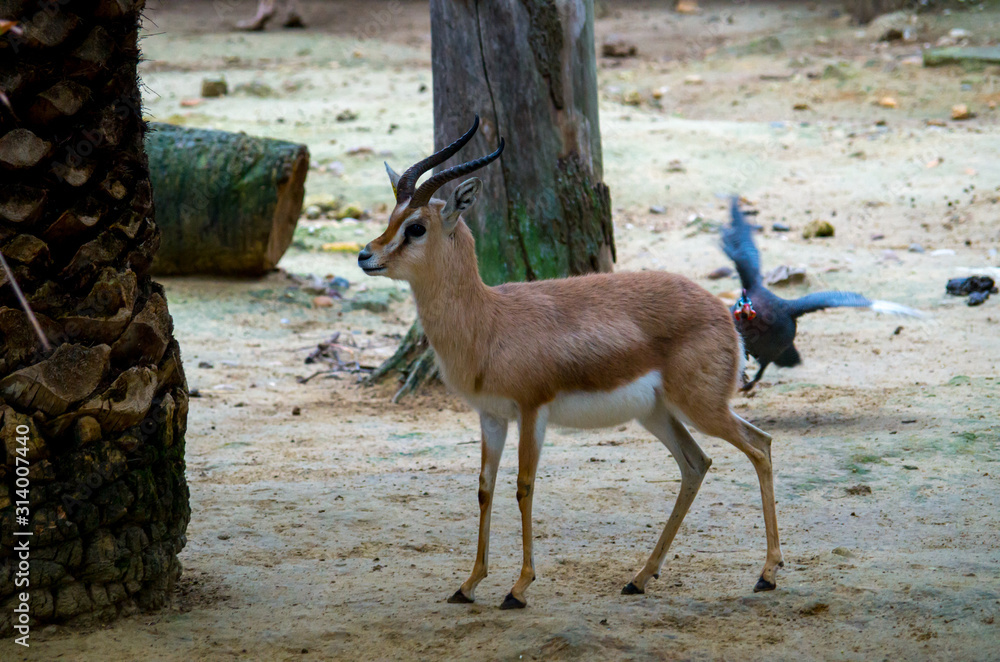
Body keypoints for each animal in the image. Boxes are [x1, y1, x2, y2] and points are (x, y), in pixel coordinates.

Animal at [359, 117, 782, 609]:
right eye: (391, 218)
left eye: (416, 227)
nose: (365, 255)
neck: (488, 321)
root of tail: (725, 313)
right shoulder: (491, 416)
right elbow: (484, 487)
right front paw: (468, 585)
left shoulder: (532, 411)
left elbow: (524, 486)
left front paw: (518, 588)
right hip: (657, 414)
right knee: (698, 463)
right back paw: (640, 578)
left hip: (702, 408)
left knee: (759, 446)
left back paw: (767, 575)